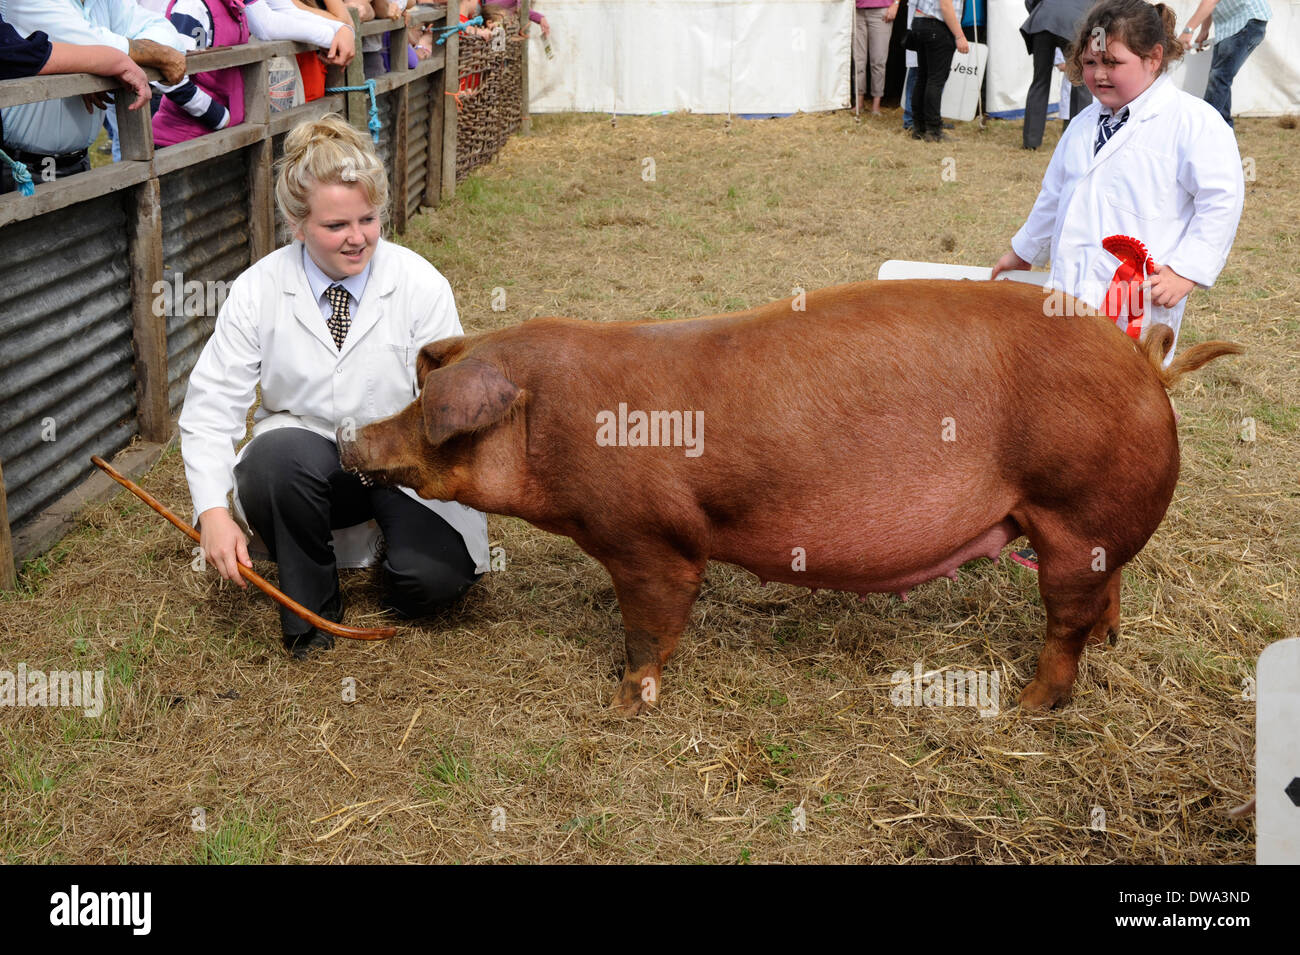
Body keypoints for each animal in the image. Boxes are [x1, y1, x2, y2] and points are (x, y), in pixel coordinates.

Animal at [337, 280, 1241, 715]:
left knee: (1065, 621)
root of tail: (1147, 365)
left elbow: (651, 624)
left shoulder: (649, 537)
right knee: (1106, 590)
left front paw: (623, 703)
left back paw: (1027, 704)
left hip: (1075, 507)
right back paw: (1108, 644)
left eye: (429, 414)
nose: (351, 438)